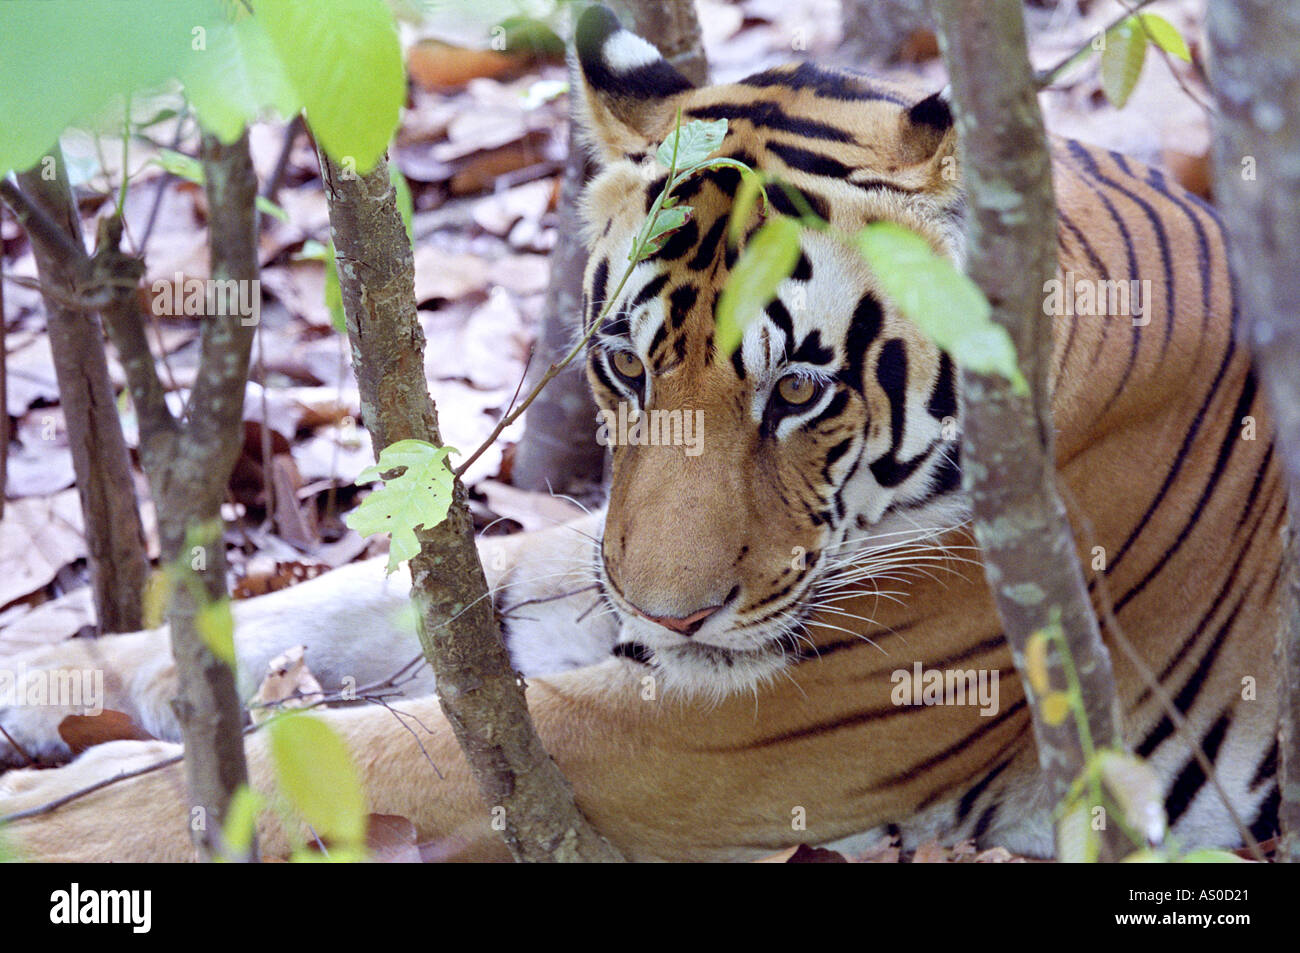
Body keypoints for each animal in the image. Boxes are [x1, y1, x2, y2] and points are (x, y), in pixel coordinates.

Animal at [0, 5, 1282, 862]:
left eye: (800, 391)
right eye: (625, 365)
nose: (671, 618)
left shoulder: (730, 724)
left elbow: (351, 752)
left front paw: (48, 813)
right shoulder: (596, 566)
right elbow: (336, 603)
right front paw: (48, 671)